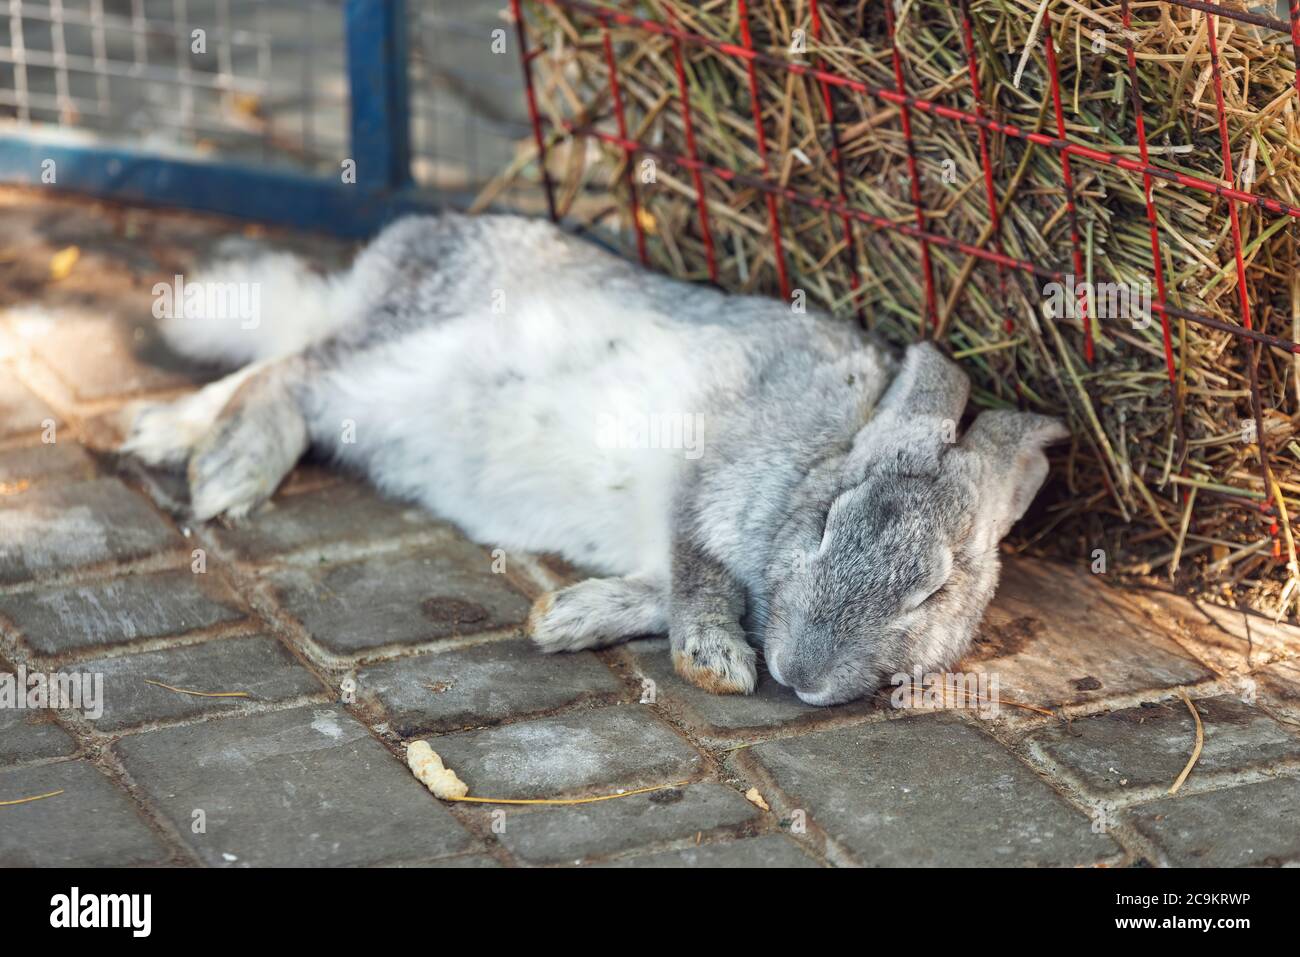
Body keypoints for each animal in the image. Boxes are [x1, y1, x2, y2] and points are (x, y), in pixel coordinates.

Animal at [122, 213, 1066, 705]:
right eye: (830, 521)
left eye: (935, 591)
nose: (799, 674)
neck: (823, 451)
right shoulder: (701, 472)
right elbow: (698, 578)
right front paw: (715, 663)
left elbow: (658, 588)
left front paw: (566, 617)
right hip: (386, 359)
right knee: (289, 371)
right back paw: (225, 470)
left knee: (279, 362)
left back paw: (164, 431)